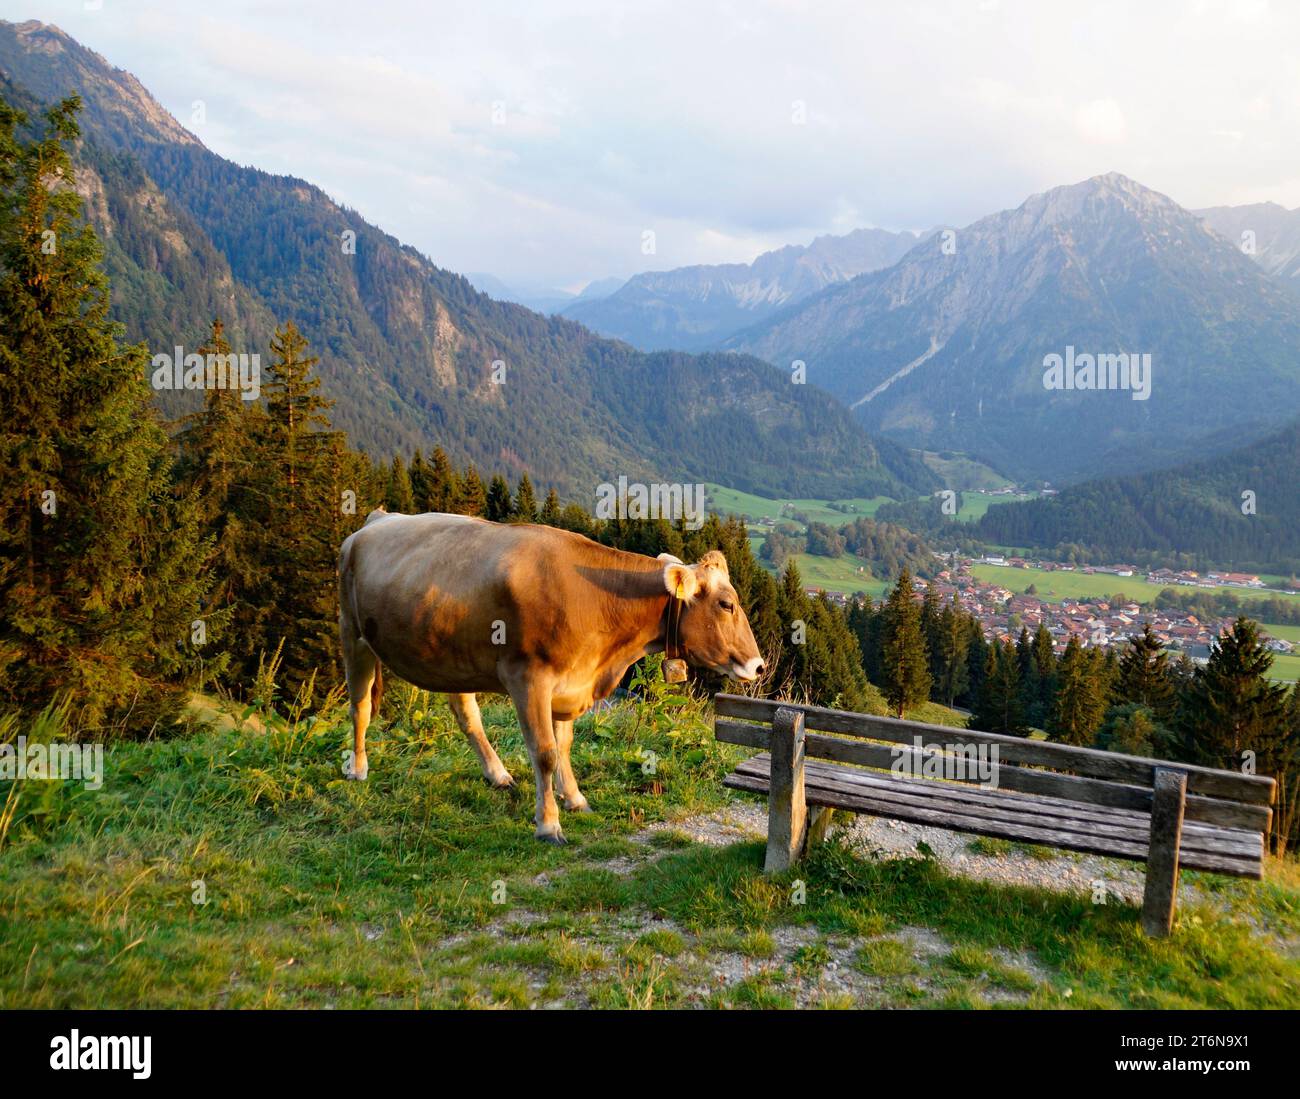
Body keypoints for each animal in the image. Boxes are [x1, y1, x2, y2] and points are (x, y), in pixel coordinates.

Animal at [337, 510, 765, 843]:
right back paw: (357, 769)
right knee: (360, 706)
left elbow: (564, 747)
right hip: (352, 634)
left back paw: (497, 774)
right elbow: (544, 753)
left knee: (466, 713)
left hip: (449, 652)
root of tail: (376, 519)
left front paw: (575, 799)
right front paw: (548, 824)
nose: (759, 665)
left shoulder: (570, 683)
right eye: (726, 604)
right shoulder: (528, 678)